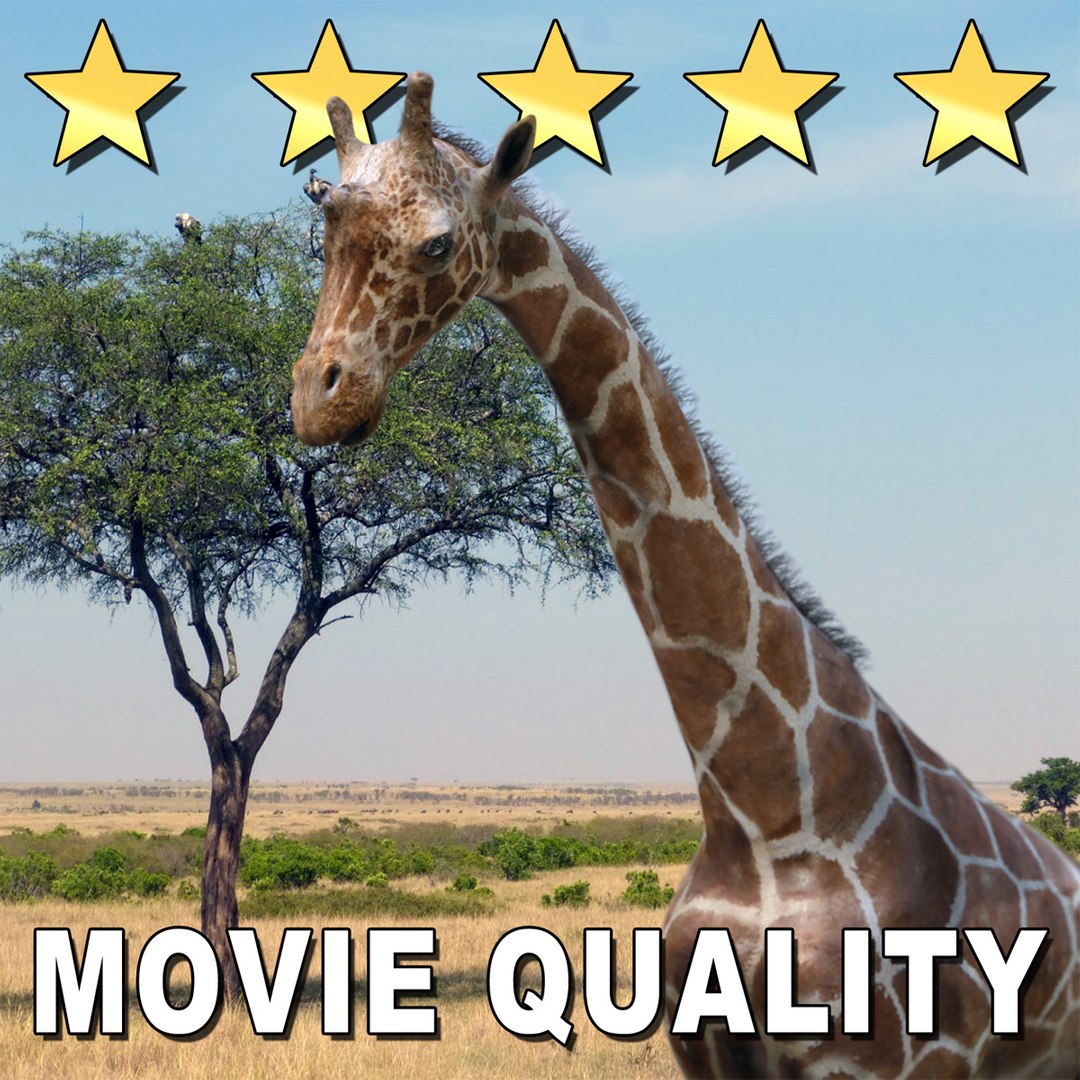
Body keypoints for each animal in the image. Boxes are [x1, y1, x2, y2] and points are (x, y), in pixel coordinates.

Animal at [290, 74, 1080, 1078]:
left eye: (435, 241)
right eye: (325, 227)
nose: (317, 397)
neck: (763, 811)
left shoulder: (895, 1062)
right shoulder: (705, 1049)